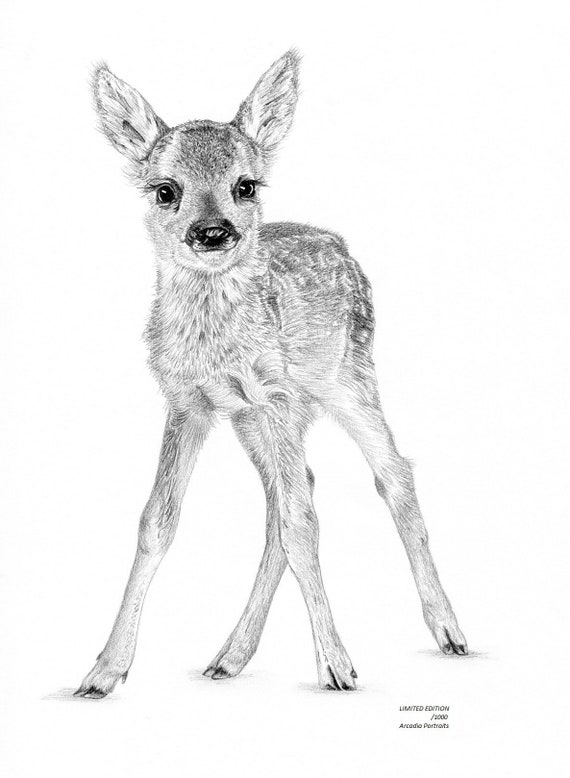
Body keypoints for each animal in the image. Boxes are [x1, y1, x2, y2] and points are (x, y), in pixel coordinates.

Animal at [75, 50, 467, 698]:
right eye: (165, 190)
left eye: (245, 185)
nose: (213, 233)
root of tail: (342, 247)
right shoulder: (189, 402)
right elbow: (157, 520)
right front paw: (103, 672)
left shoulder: (274, 393)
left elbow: (303, 525)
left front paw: (339, 667)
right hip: (257, 418)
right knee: (290, 495)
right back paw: (228, 657)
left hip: (347, 377)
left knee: (391, 474)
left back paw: (450, 632)